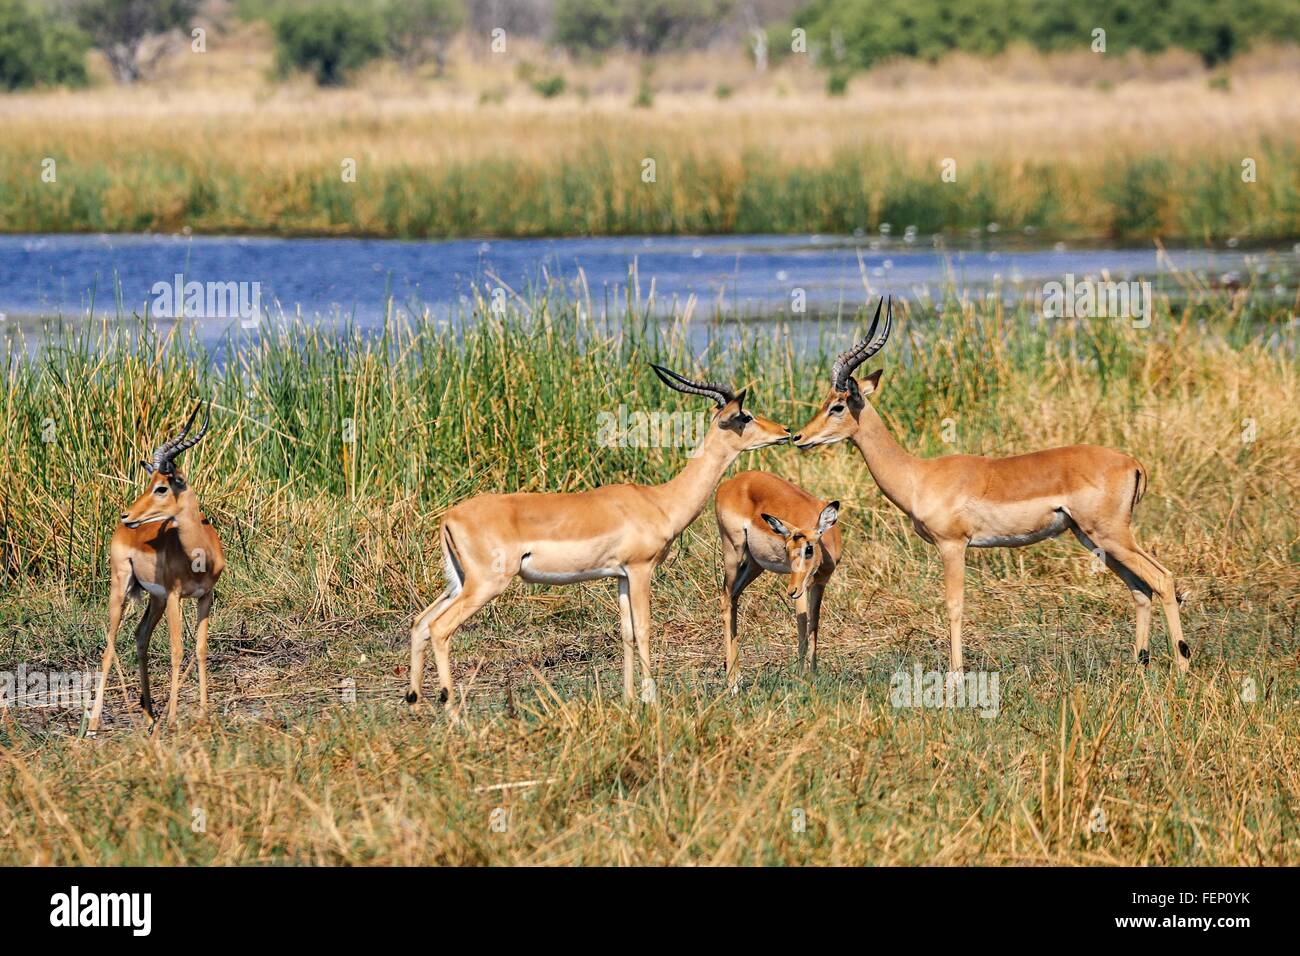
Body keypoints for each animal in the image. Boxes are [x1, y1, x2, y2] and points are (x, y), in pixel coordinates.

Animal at [88, 404, 224, 733]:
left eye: (162, 488)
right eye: (152, 484)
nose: (127, 515)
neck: (198, 554)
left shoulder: (205, 597)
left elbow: (201, 649)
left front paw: (203, 715)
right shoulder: (176, 597)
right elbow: (177, 650)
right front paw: (173, 718)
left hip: (156, 598)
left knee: (140, 636)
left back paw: (150, 715)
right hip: (121, 588)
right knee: (109, 644)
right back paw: (94, 724)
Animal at [406, 365, 791, 716]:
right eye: (745, 416)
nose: (785, 431)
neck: (660, 501)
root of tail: (449, 518)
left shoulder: (620, 576)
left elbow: (626, 633)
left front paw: (630, 699)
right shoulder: (640, 570)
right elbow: (645, 628)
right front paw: (651, 698)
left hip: (459, 583)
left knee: (420, 621)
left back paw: (414, 700)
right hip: (486, 584)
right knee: (439, 628)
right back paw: (452, 710)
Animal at [715, 471, 841, 688]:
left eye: (809, 548)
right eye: (786, 548)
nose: (790, 590)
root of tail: (730, 483)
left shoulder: (819, 584)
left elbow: (814, 625)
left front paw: (813, 674)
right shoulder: (803, 588)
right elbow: (802, 626)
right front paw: (802, 678)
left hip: (754, 564)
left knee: (733, 598)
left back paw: (738, 677)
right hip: (733, 551)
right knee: (725, 597)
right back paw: (732, 682)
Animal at [794, 297, 1189, 676]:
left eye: (838, 405)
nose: (799, 437)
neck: (919, 475)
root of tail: (1133, 463)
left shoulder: (953, 545)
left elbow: (954, 605)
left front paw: (955, 674)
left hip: (1110, 535)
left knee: (1162, 578)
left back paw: (1183, 664)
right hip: (1093, 538)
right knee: (1140, 587)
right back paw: (1140, 664)